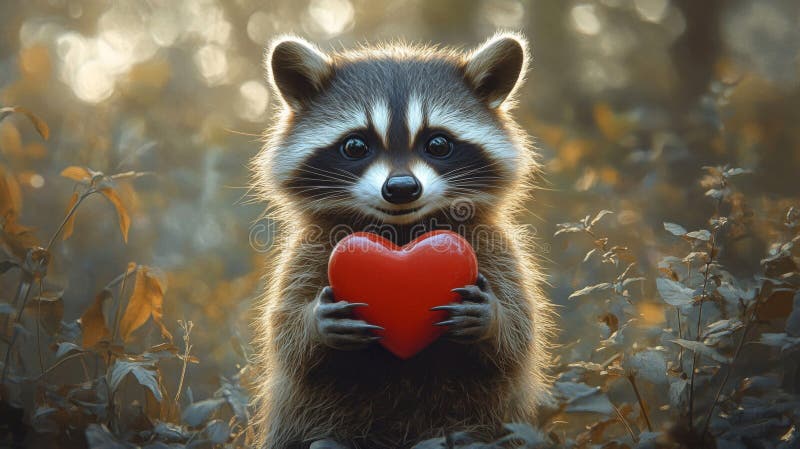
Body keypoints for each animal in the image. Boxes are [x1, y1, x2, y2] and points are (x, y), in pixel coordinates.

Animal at [251, 33, 553, 449]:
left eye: (438, 144)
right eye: (356, 146)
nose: (401, 188)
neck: (403, 230)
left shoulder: (496, 247)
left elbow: (520, 334)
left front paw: (492, 317)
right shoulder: (308, 251)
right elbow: (285, 333)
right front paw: (314, 321)